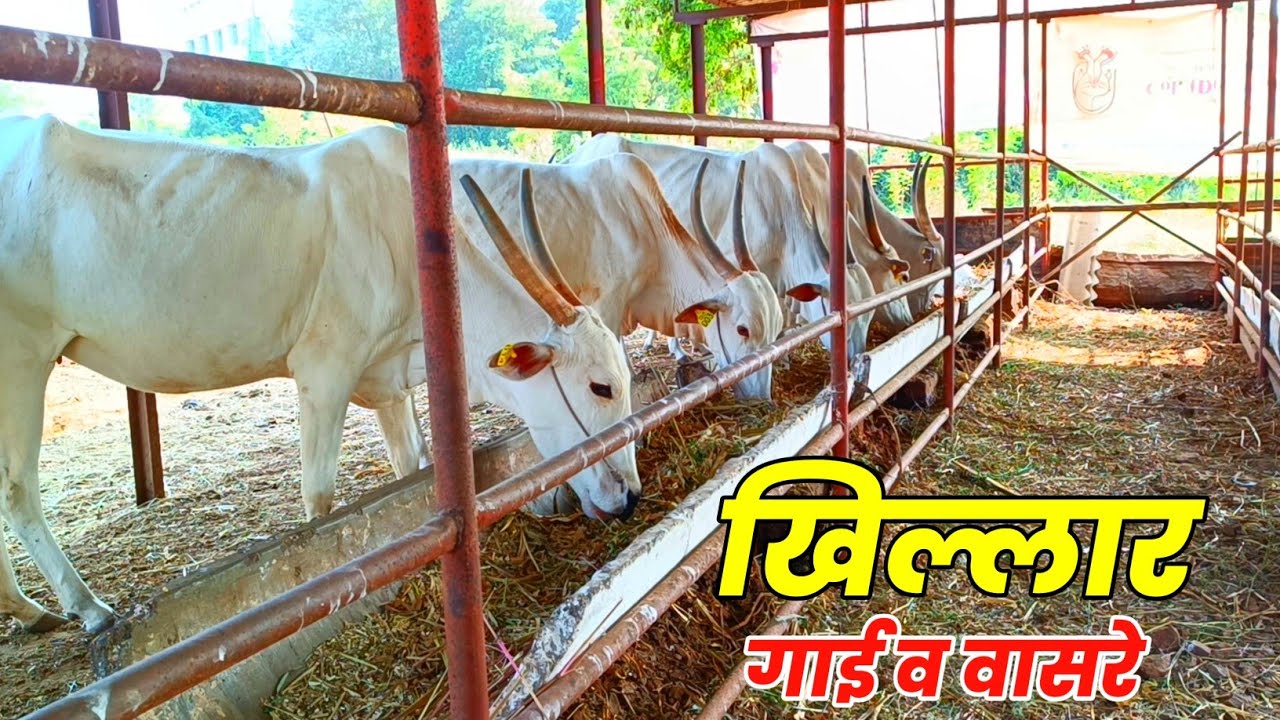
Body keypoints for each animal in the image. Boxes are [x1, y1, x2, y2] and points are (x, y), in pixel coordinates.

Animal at [0, 116, 639, 633]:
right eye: (600, 386)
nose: (630, 498)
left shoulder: (391, 385)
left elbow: (414, 470)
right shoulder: (324, 371)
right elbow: (320, 499)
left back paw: (29, 612)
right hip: (23, 358)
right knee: (17, 489)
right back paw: (86, 607)